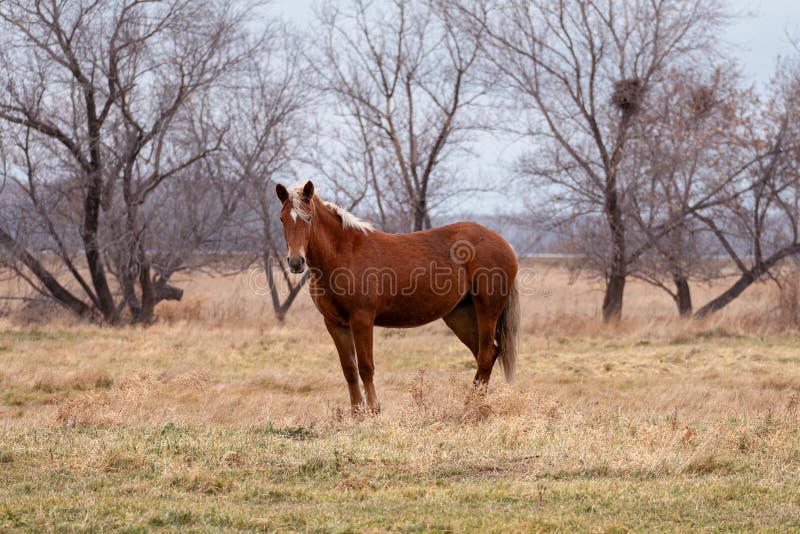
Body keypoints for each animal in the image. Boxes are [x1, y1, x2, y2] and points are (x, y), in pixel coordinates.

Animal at [275, 180, 519, 413]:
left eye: (308, 218)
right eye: (282, 219)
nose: (296, 262)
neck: (344, 254)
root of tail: (505, 243)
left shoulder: (362, 320)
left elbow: (365, 367)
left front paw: (373, 411)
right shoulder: (335, 324)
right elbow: (349, 369)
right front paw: (356, 414)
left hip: (487, 309)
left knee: (485, 356)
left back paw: (472, 408)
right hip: (459, 315)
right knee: (487, 354)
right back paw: (472, 405)